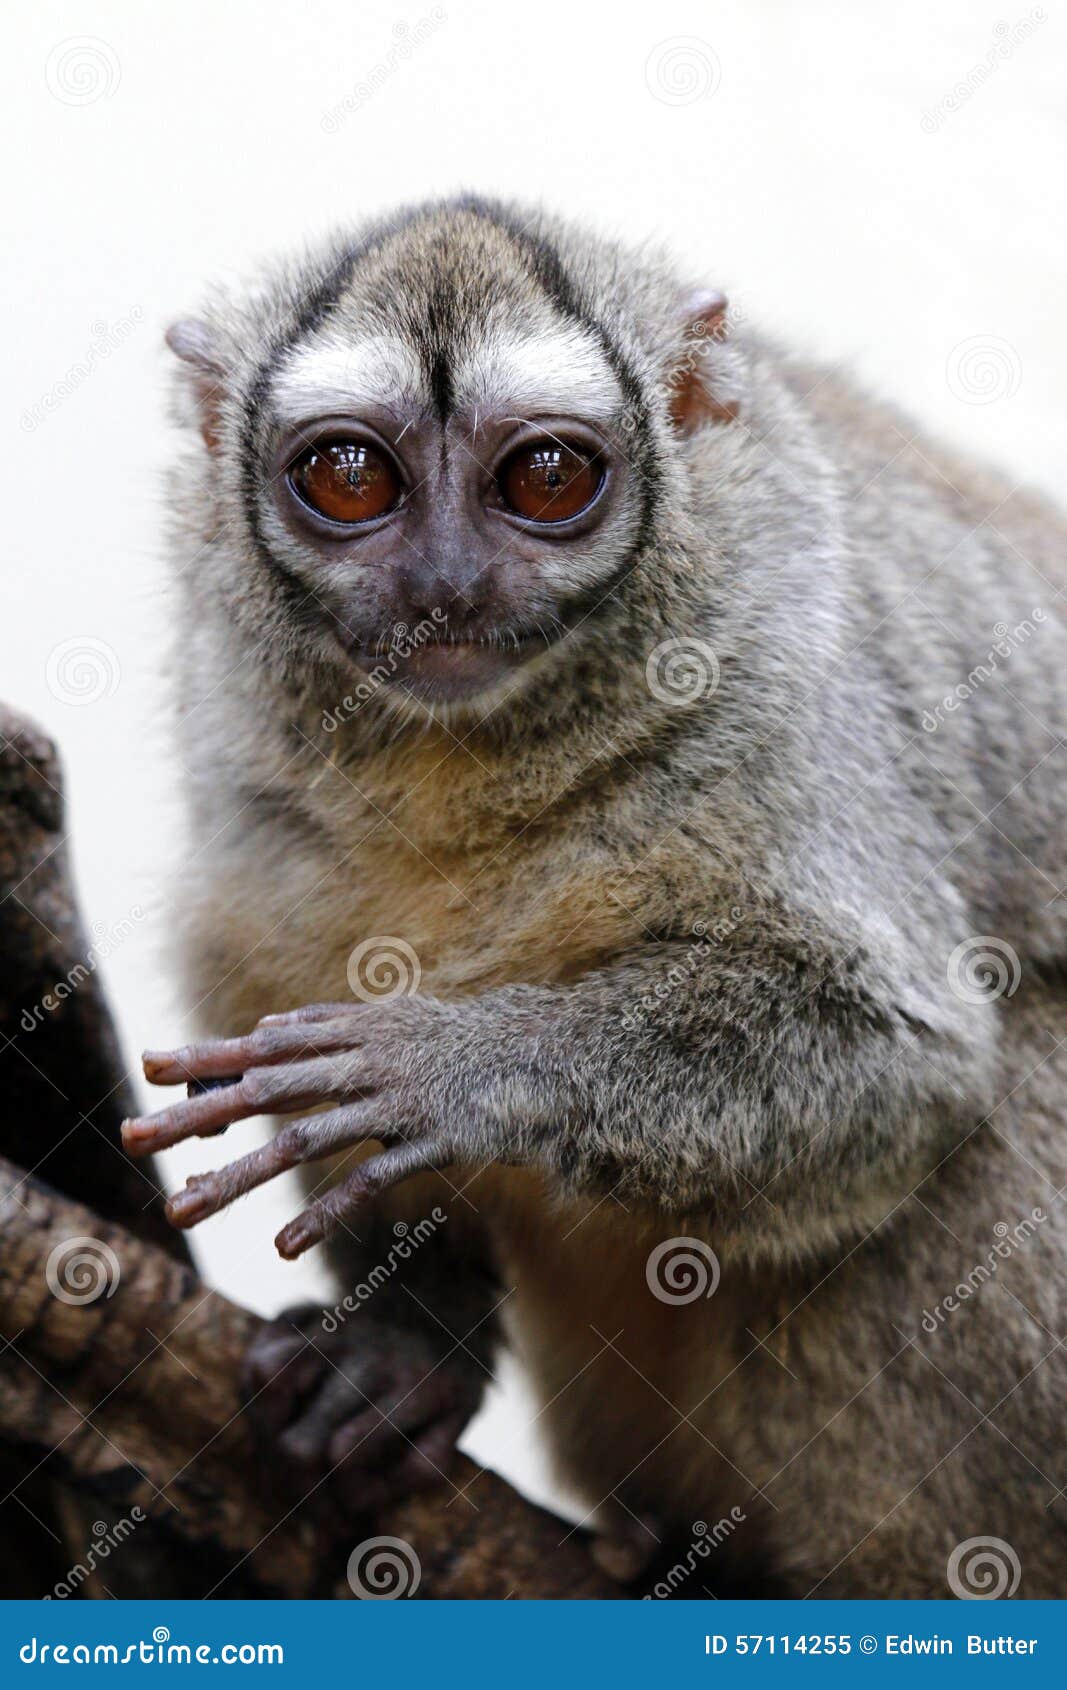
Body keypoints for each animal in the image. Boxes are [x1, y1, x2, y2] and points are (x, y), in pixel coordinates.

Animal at [122, 196, 1067, 1597]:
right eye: (347, 475)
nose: (445, 588)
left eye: (547, 479)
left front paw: (441, 1074)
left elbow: (904, 1068)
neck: (461, 769)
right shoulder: (243, 769)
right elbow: (252, 992)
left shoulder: (773, 701)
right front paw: (399, 1354)